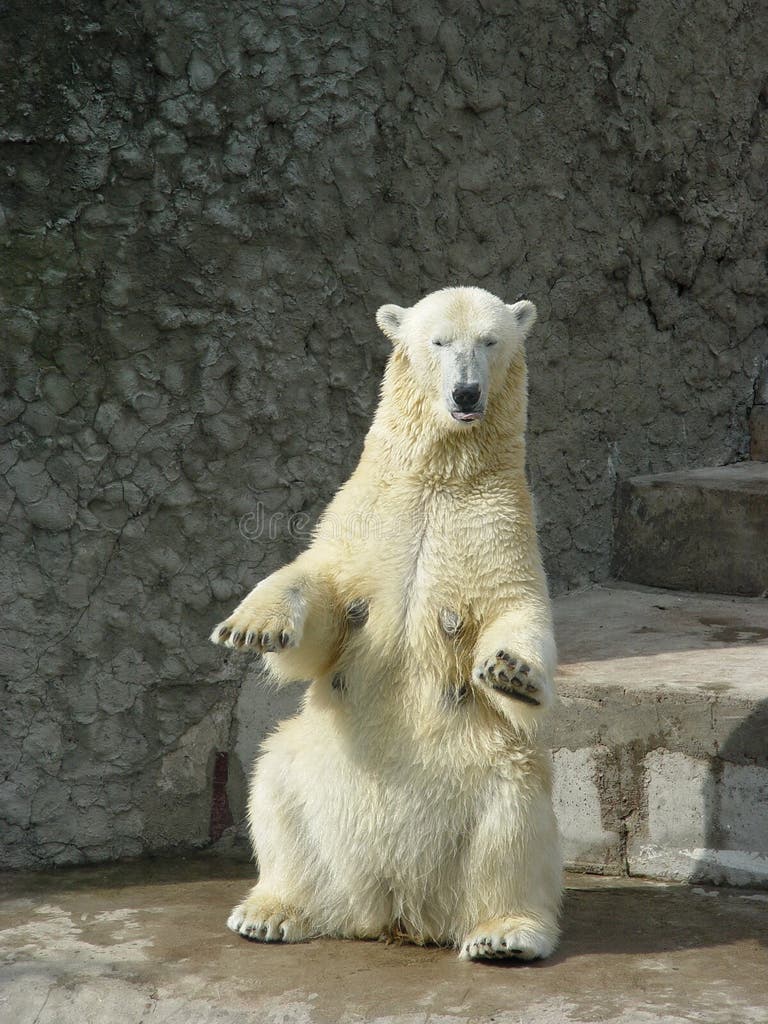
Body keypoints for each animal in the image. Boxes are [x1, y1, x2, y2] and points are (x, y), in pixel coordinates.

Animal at [211, 286, 562, 961]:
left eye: (490, 341)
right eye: (438, 341)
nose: (466, 394)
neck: (440, 478)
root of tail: (395, 907)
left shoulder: (499, 532)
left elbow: (517, 609)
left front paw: (510, 671)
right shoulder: (366, 518)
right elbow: (321, 602)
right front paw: (254, 627)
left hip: (486, 772)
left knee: (514, 818)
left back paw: (504, 934)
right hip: (319, 770)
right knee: (276, 783)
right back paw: (272, 911)